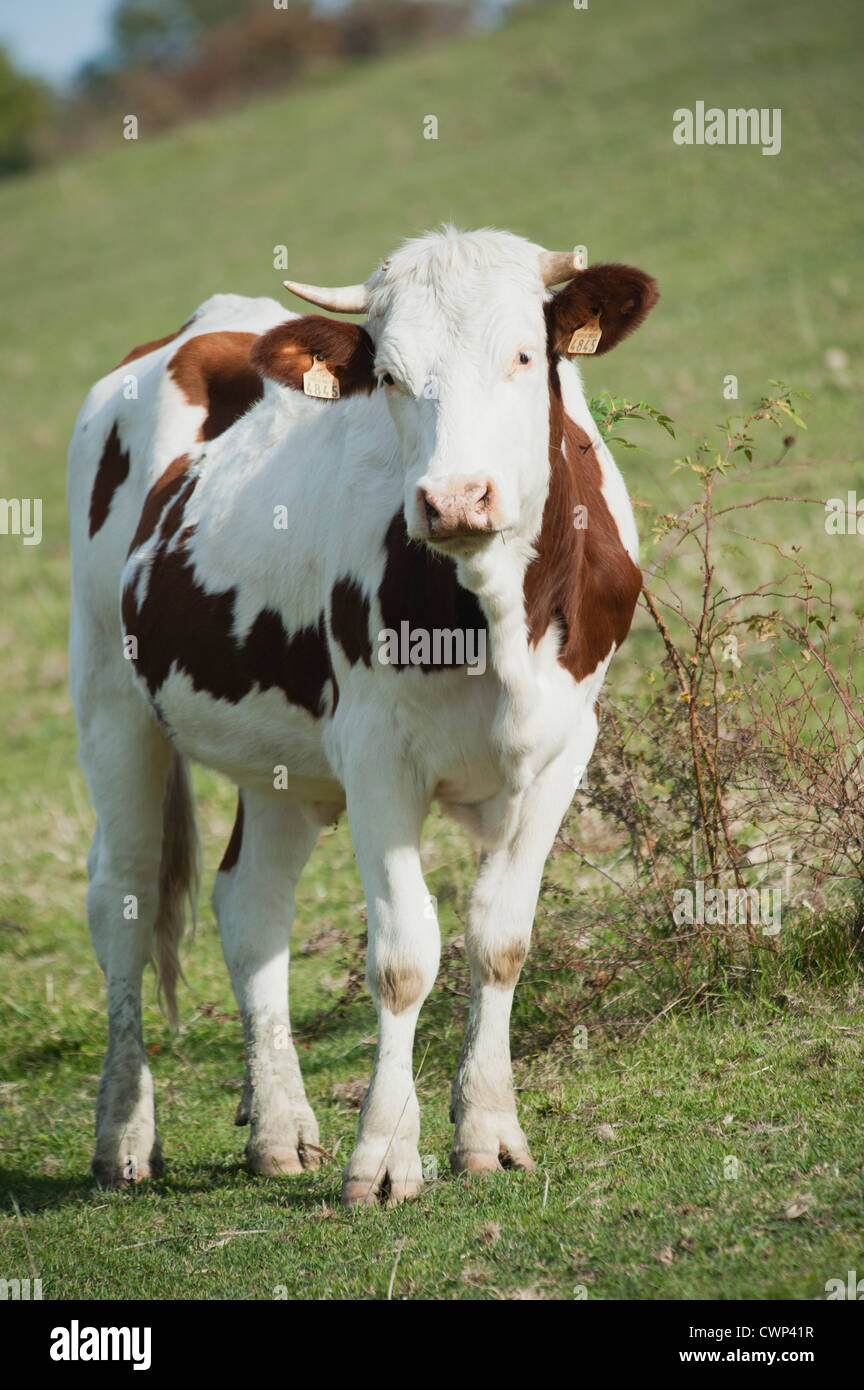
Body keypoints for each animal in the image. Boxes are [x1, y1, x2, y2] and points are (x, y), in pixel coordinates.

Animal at [67, 227, 657, 1203]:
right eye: (388, 373)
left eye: (524, 355)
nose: (454, 498)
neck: (496, 612)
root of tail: (207, 328)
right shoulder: (379, 755)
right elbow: (404, 958)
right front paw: (383, 1155)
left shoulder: (567, 744)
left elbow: (500, 939)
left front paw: (488, 1130)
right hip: (111, 701)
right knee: (126, 898)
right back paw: (123, 1134)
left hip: (279, 758)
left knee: (252, 904)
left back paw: (278, 1128)